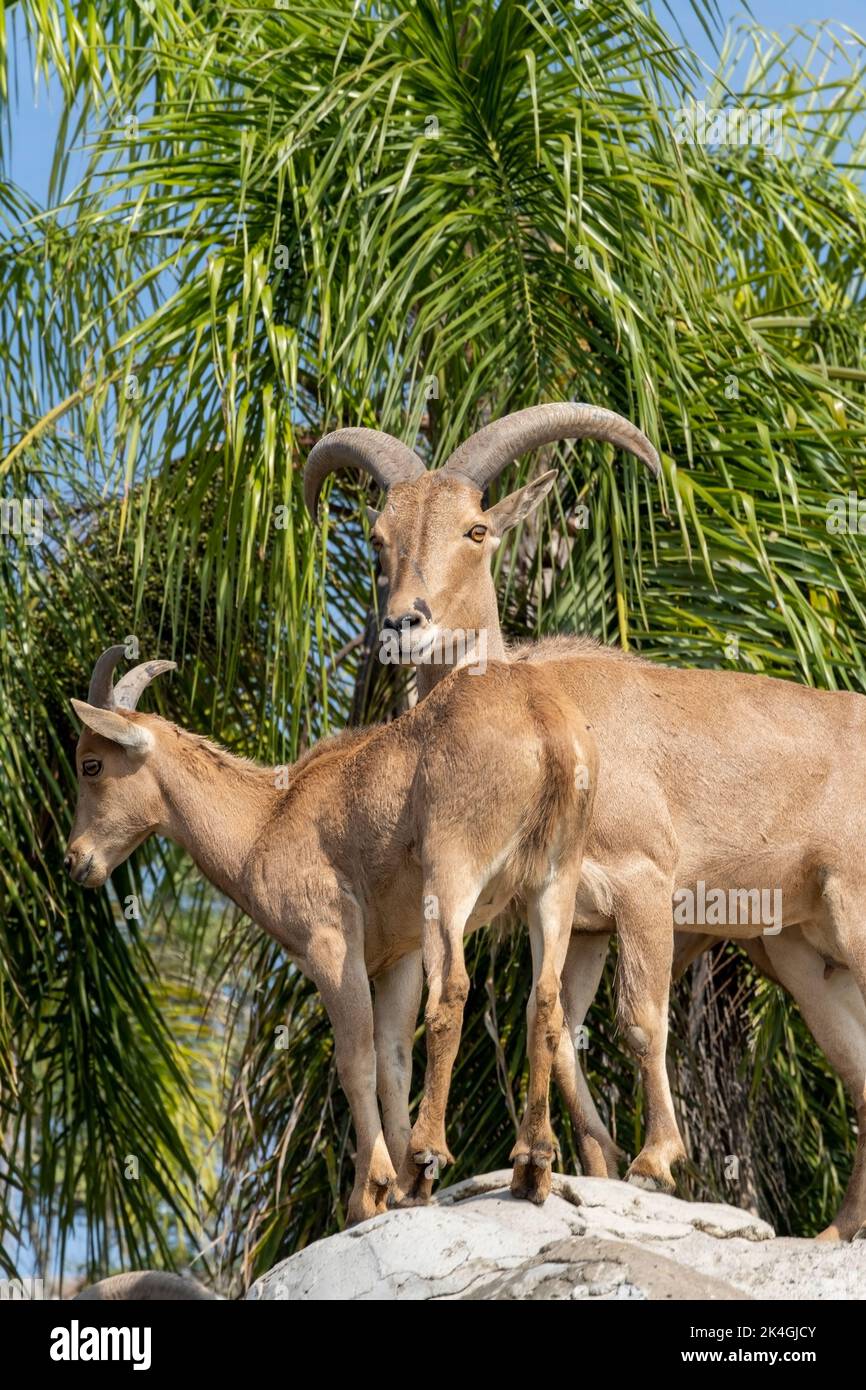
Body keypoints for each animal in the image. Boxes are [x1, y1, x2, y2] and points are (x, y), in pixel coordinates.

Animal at [65, 644, 597, 1221]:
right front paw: (404, 1191)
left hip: (453, 868)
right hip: (554, 881)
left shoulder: (329, 941)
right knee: (545, 999)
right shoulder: (397, 959)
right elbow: (392, 1058)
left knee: (453, 992)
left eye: (91, 764)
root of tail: (545, 726)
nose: (75, 860)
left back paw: (428, 1154)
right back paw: (531, 1162)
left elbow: (355, 1058)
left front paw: (372, 1190)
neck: (264, 822)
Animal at [305, 403, 866, 1240]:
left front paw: (655, 1160)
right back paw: (838, 1231)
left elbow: (640, 1018)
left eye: (476, 529)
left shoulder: (644, 882)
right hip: (805, 955)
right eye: (378, 536)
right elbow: (565, 1034)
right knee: (860, 1071)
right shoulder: (584, 919)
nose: (405, 621)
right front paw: (588, 1164)